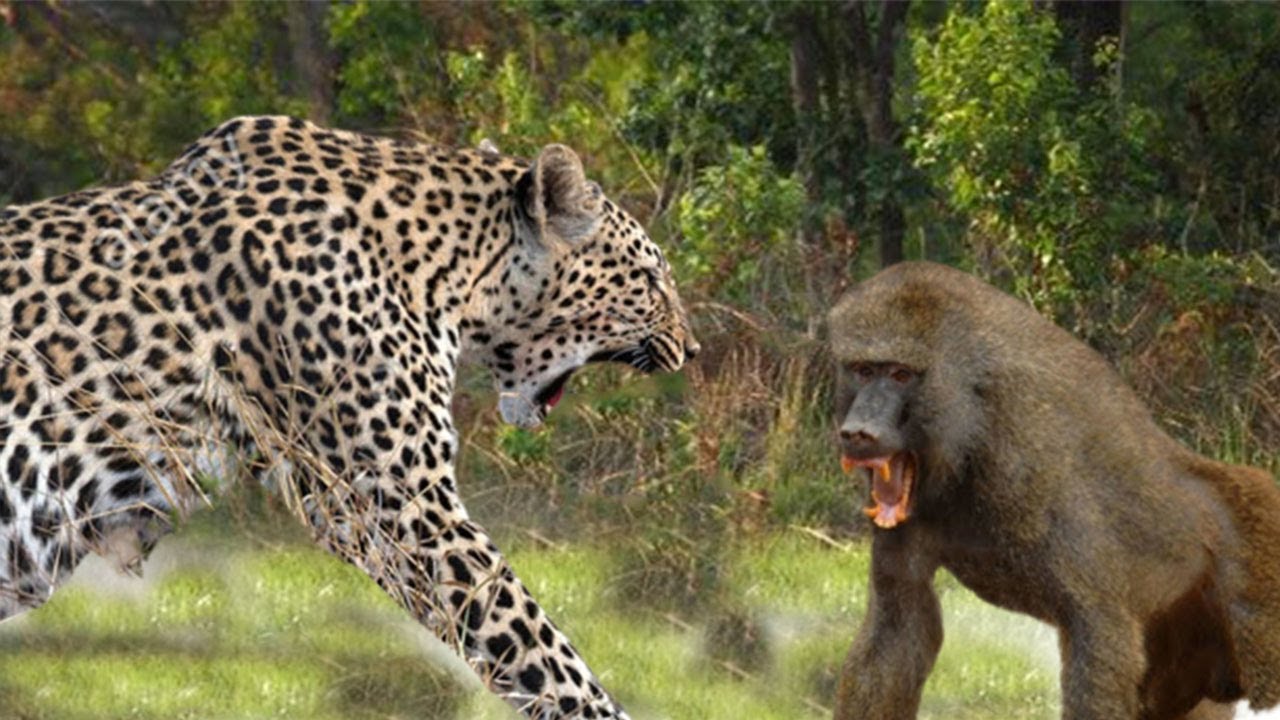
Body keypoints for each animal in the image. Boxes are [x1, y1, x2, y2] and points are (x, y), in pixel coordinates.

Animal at [827, 261, 1280, 720]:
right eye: (864, 371)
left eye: (901, 375)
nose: (858, 432)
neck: (970, 425)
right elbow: (900, 626)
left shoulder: (1025, 455)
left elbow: (1097, 628)